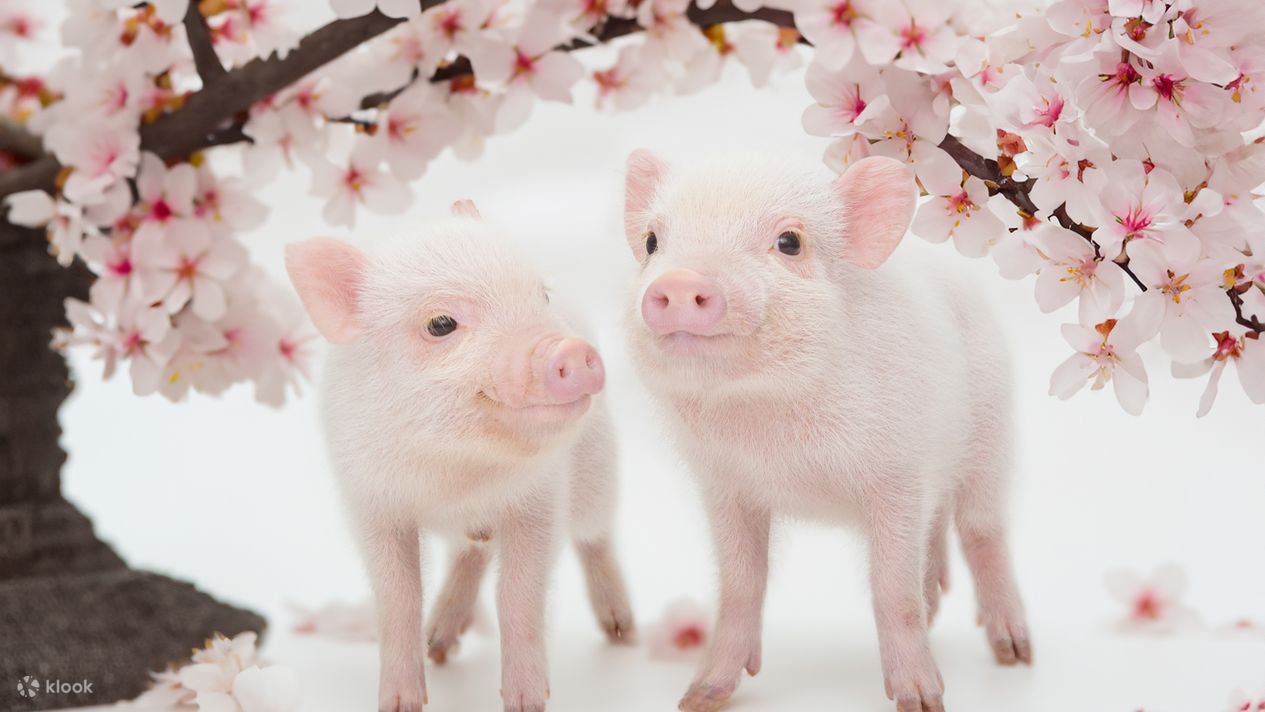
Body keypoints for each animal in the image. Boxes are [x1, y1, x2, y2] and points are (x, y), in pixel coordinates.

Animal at [284, 200, 635, 712]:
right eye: (441, 324)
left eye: (541, 296)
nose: (570, 349)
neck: (456, 477)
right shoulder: (370, 502)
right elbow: (398, 596)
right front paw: (400, 702)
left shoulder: (540, 498)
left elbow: (518, 594)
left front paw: (527, 703)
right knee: (472, 554)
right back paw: (439, 644)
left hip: (598, 465)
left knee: (596, 535)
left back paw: (623, 632)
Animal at [620, 152, 1030, 712]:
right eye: (652, 242)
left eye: (790, 241)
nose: (680, 281)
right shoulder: (724, 484)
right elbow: (741, 584)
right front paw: (700, 697)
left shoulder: (899, 474)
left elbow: (892, 589)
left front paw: (922, 701)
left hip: (992, 427)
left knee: (982, 529)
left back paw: (1015, 653)